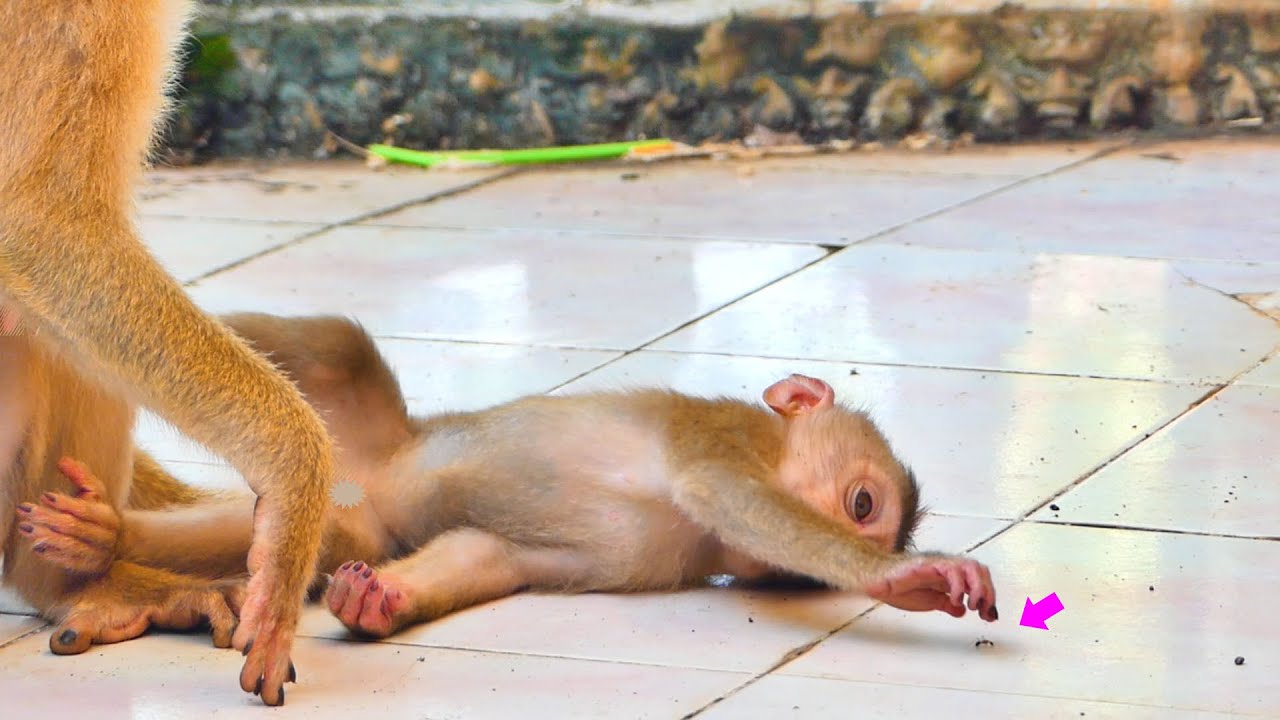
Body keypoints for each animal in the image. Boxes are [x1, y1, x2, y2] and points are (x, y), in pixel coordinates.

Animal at [21, 313, 998, 642]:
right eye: (861, 505)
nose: (863, 530)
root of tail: (377, 462)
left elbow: (486, 556)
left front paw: (376, 603)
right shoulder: (720, 442)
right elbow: (724, 492)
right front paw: (905, 577)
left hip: (353, 505)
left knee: (311, 529)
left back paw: (113, 543)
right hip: (345, 416)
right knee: (332, 344)